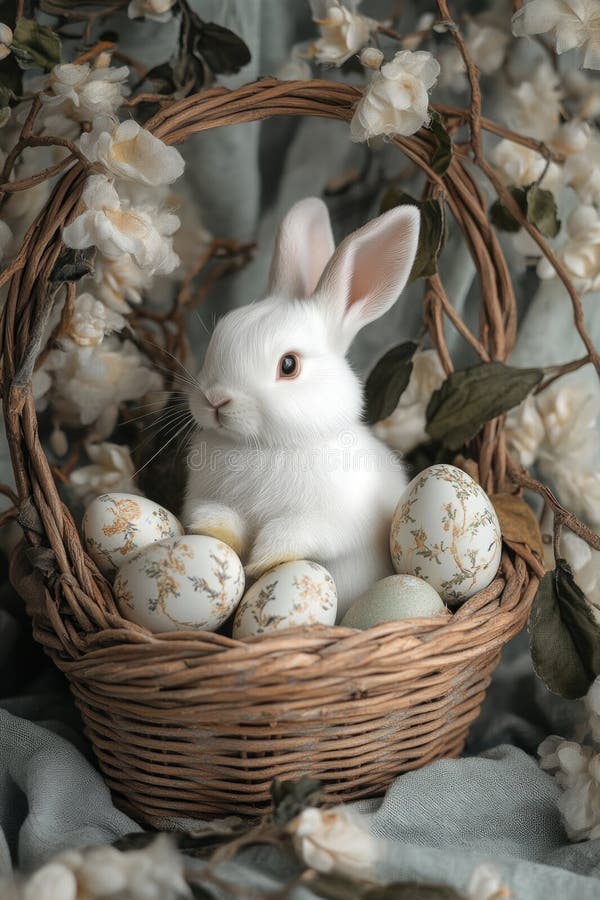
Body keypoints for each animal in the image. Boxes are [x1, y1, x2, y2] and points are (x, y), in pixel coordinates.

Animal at [183, 197, 420, 618]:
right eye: (219, 335)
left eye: (289, 365)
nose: (215, 399)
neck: (265, 447)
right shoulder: (204, 497)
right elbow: (220, 517)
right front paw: (214, 532)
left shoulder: (329, 522)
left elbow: (296, 534)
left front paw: (262, 560)